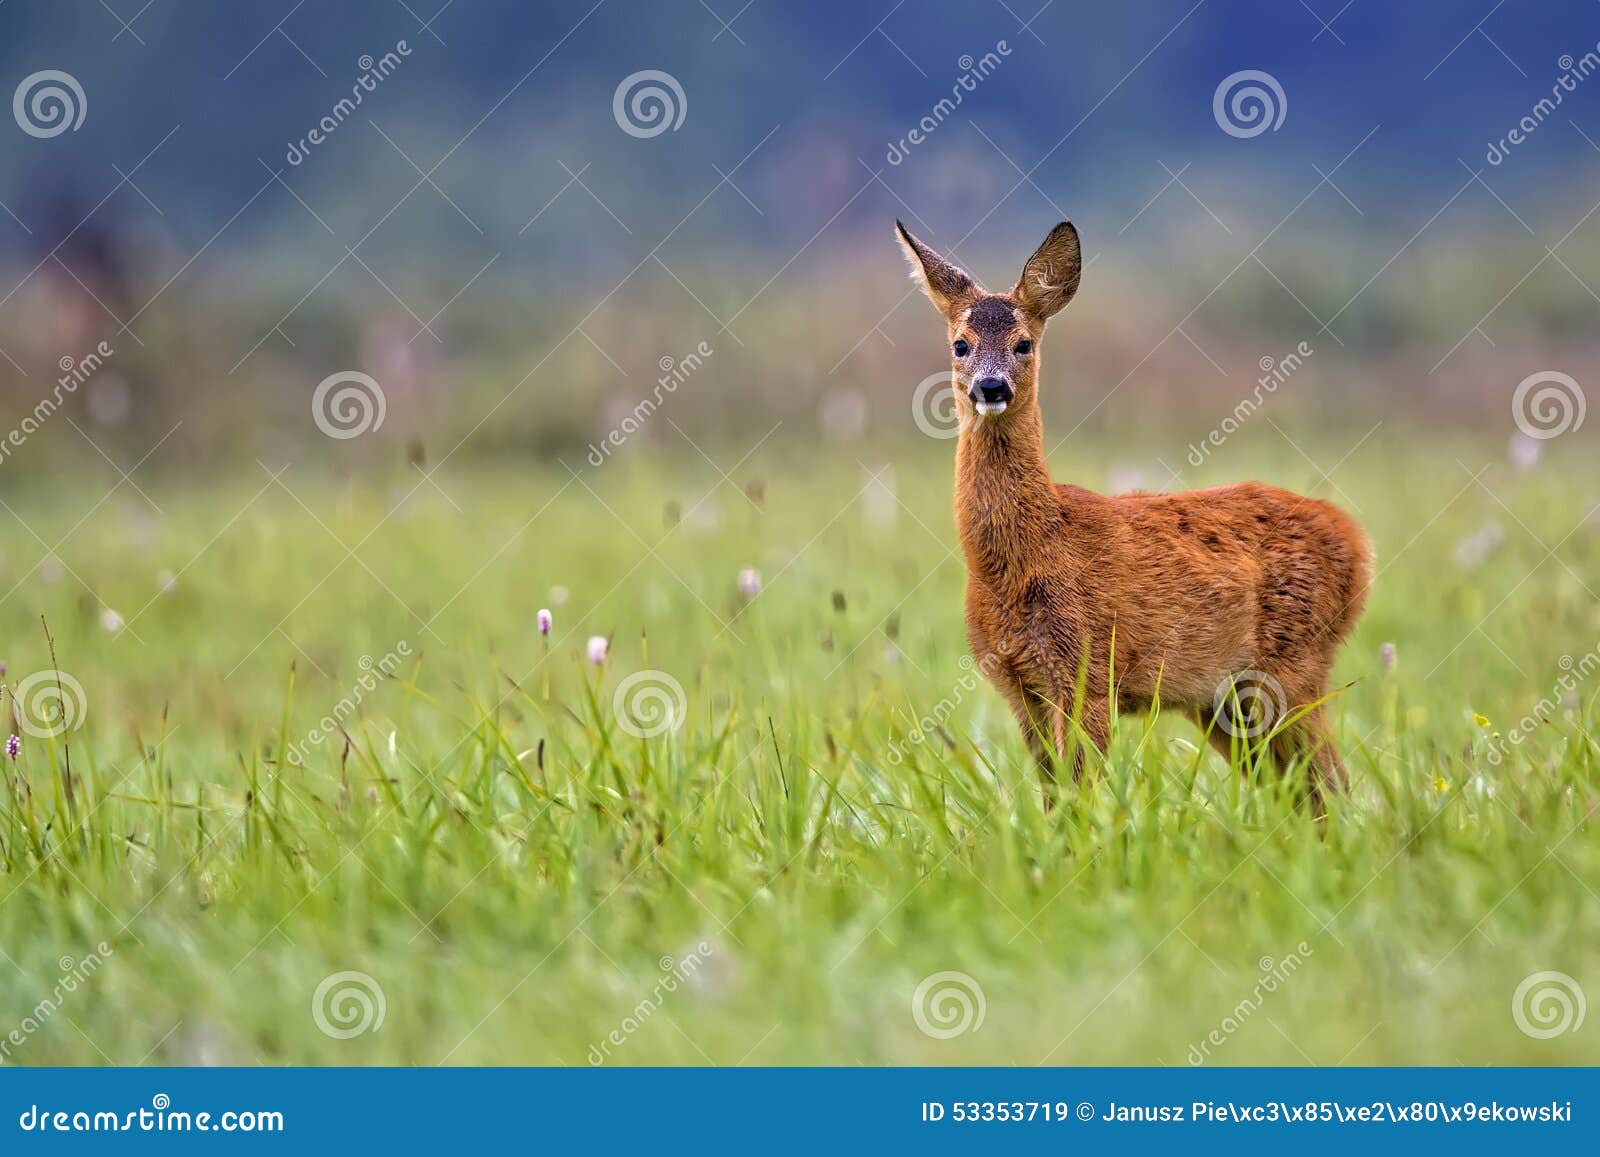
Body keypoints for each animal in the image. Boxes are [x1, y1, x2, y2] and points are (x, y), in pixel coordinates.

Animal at [895, 219, 1373, 812]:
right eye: (960, 344)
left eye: (1024, 343)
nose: (991, 386)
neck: (1025, 558)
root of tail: (1358, 543)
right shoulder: (1020, 687)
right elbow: (1053, 796)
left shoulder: (1089, 671)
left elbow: (1078, 796)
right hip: (1222, 699)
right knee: (1299, 787)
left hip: (1296, 662)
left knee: (1332, 782)